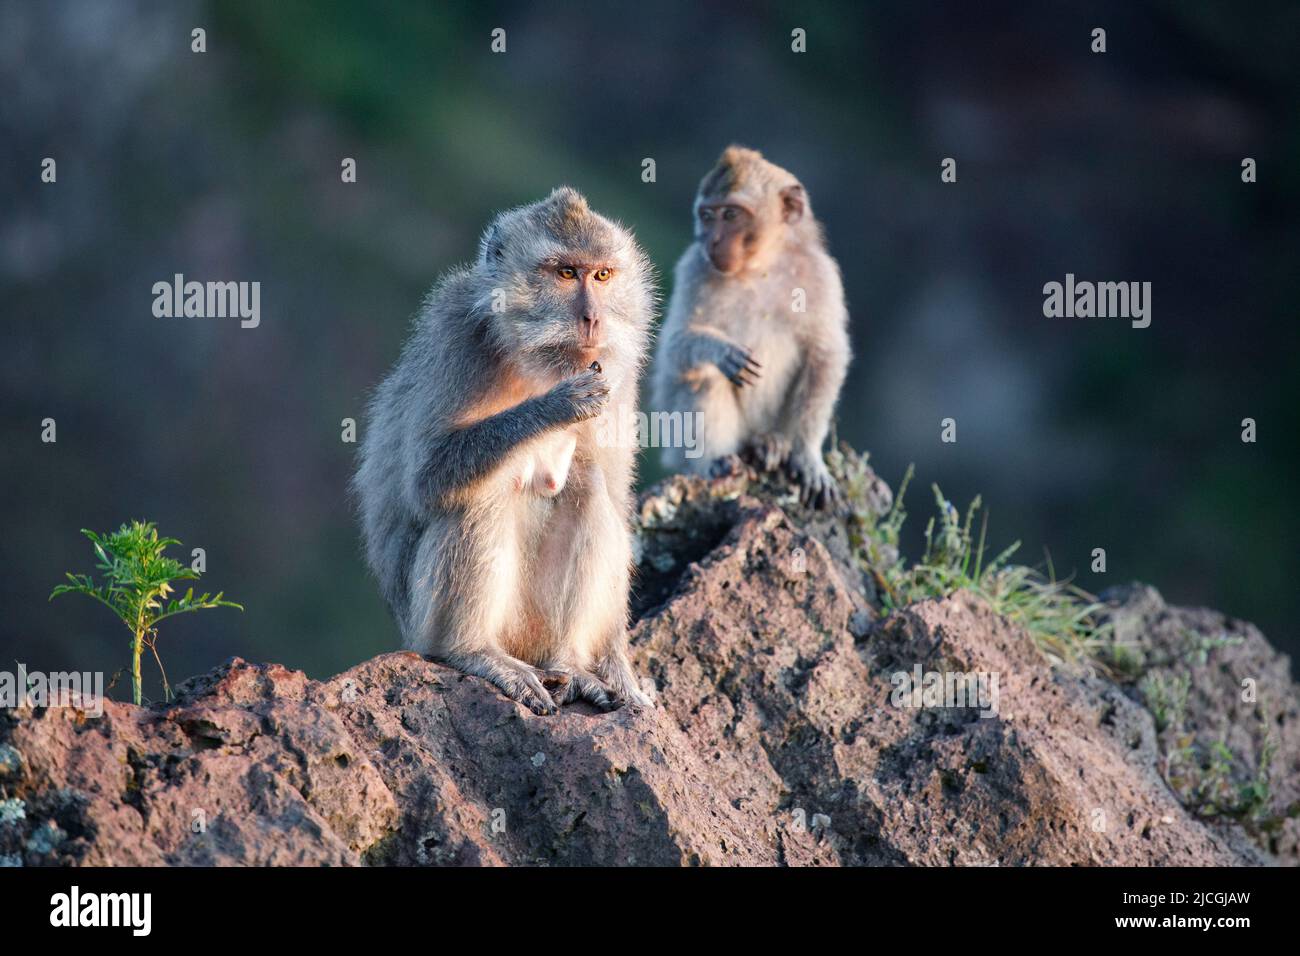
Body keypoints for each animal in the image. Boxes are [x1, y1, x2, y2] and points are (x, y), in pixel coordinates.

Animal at [354, 187, 656, 715]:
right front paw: (556, 405)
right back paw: (473, 651)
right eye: (565, 273)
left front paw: (618, 666)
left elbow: (617, 498)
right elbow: (429, 479)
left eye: (602, 275)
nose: (593, 318)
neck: (524, 353)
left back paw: (570, 662)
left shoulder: (620, 377)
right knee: (480, 496)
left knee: (588, 483)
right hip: (427, 624)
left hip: (534, 631)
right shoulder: (456, 336)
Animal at [650, 145, 851, 509]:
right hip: (679, 448)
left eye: (731, 215)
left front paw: (807, 456)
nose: (712, 241)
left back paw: (771, 443)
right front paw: (717, 349)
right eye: (707, 215)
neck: (760, 267)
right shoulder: (694, 266)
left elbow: (825, 356)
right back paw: (716, 460)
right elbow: (672, 349)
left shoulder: (823, 275)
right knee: (705, 376)